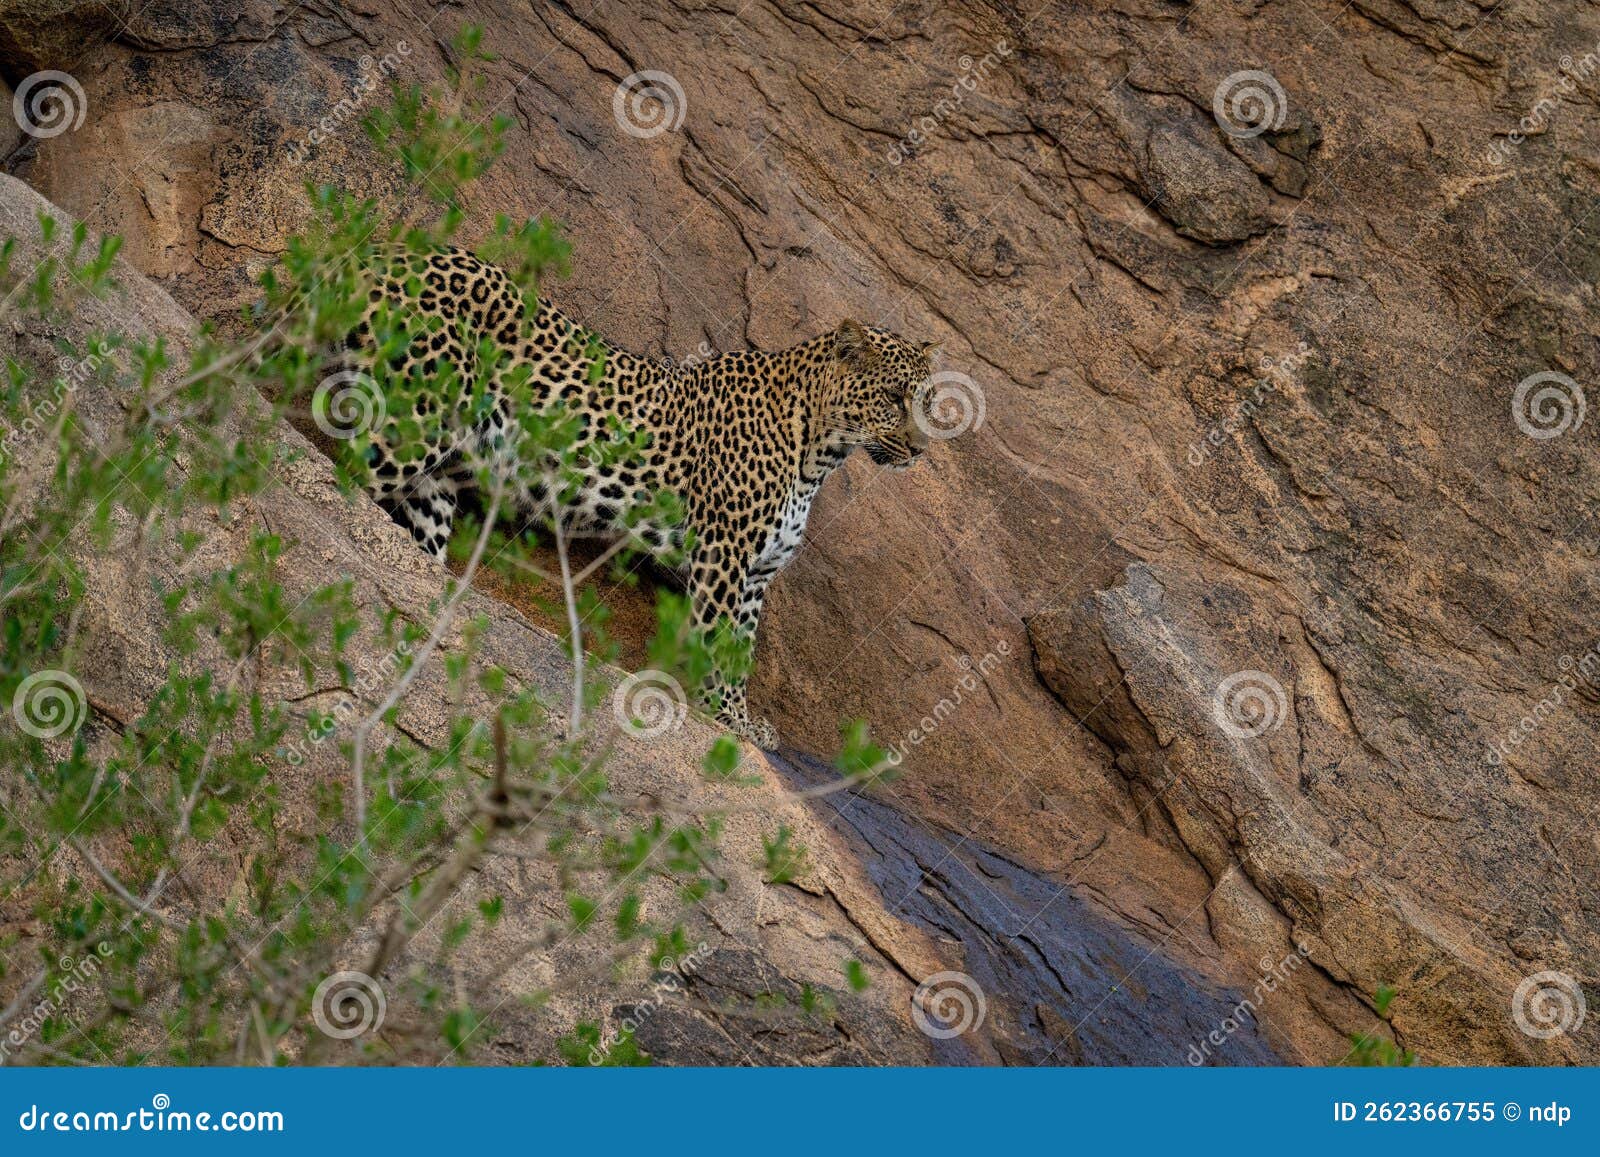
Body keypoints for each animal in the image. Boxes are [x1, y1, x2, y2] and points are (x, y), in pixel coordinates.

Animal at [339, 245, 935, 750]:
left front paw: (742, 720)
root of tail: (388, 251)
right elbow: (717, 638)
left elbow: (741, 648)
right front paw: (720, 715)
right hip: (413, 421)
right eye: (891, 397)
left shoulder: (758, 573)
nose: (921, 447)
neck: (819, 455)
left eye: (927, 400)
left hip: (437, 471)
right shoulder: (724, 554)